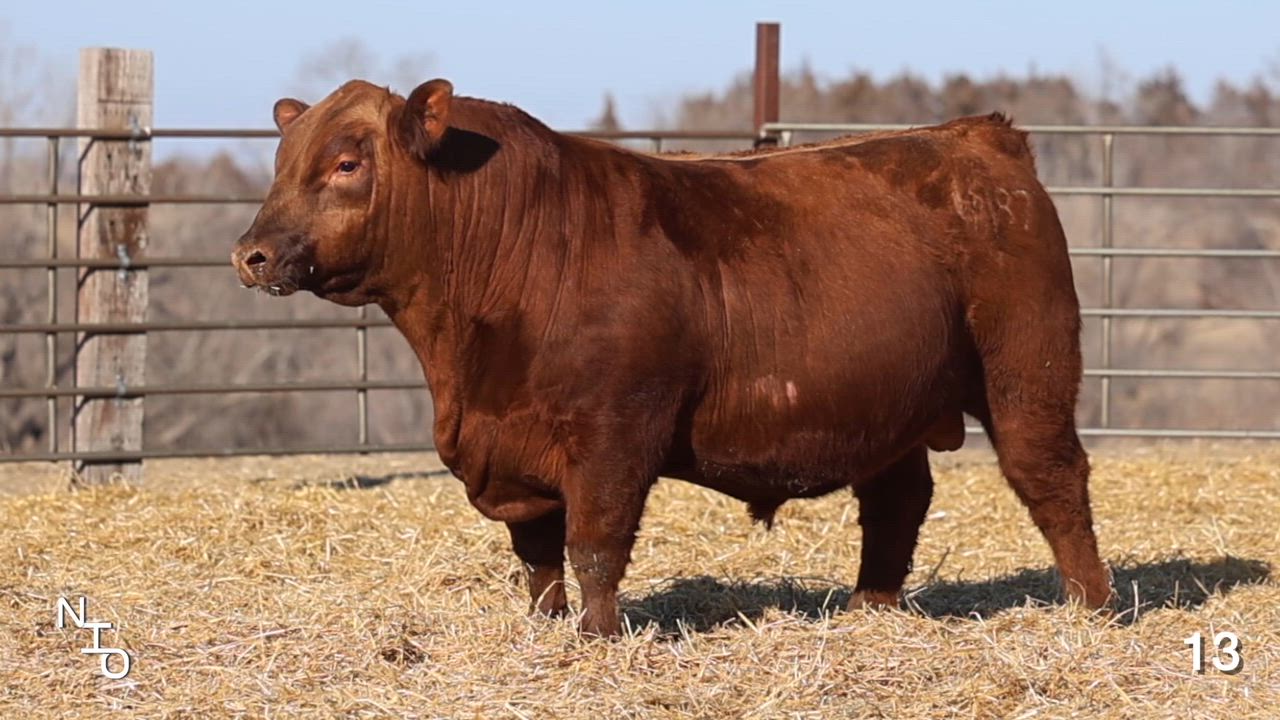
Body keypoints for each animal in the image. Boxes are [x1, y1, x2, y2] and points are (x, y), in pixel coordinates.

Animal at [232, 78, 1113, 636]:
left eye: (348, 162)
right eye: (281, 163)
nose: (252, 254)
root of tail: (973, 137)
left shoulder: (614, 434)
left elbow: (594, 544)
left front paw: (595, 638)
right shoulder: (510, 448)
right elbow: (537, 556)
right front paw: (544, 627)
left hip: (1026, 370)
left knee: (1050, 477)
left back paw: (1091, 607)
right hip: (886, 405)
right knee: (898, 501)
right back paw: (870, 610)